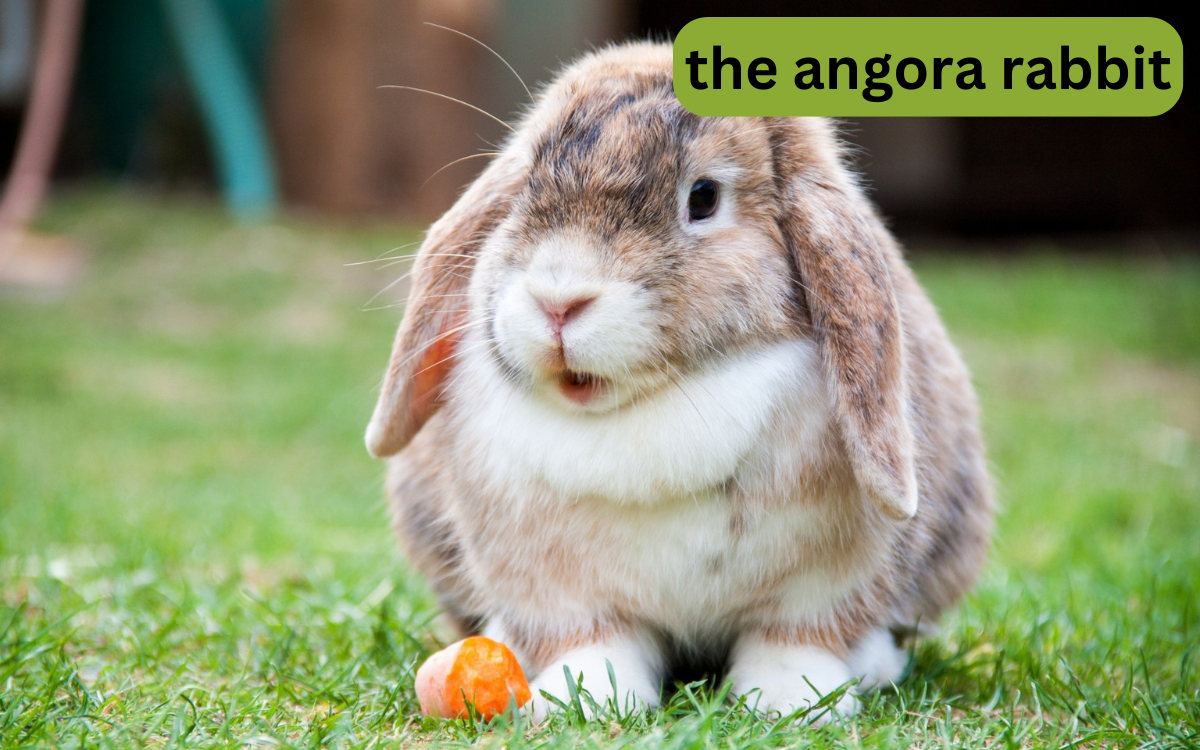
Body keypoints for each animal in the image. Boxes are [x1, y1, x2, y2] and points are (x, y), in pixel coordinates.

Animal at [366, 41, 993, 723]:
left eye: (703, 198)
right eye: (527, 181)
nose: (558, 301)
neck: (654, 405)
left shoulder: (823, 585)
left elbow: (794, 639)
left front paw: (791, 702)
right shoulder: (558, 590)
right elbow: (593, 642)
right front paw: (585, 701)